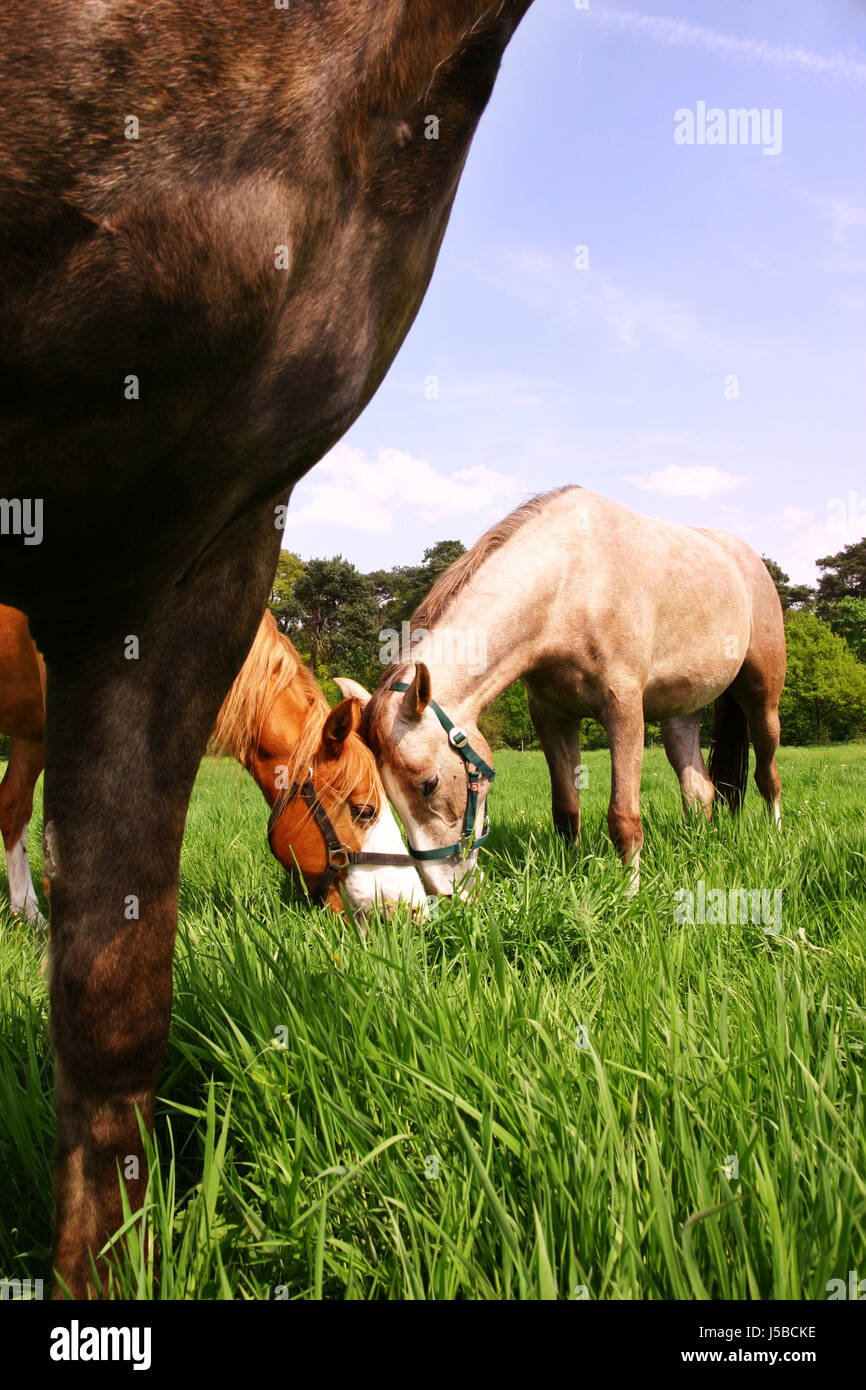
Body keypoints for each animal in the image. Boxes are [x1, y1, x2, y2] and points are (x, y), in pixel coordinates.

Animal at [345, 487, 787, 897]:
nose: (446, 891)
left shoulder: (624, 710)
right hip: (681, 714)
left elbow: (623, 817)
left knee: (767, 775)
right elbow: (565, 810)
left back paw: (775, 835)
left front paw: (630, 893)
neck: (569, 581)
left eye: (430, 784)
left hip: (762, 699)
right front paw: (571, 873)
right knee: (700, 792)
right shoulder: (551, 716)